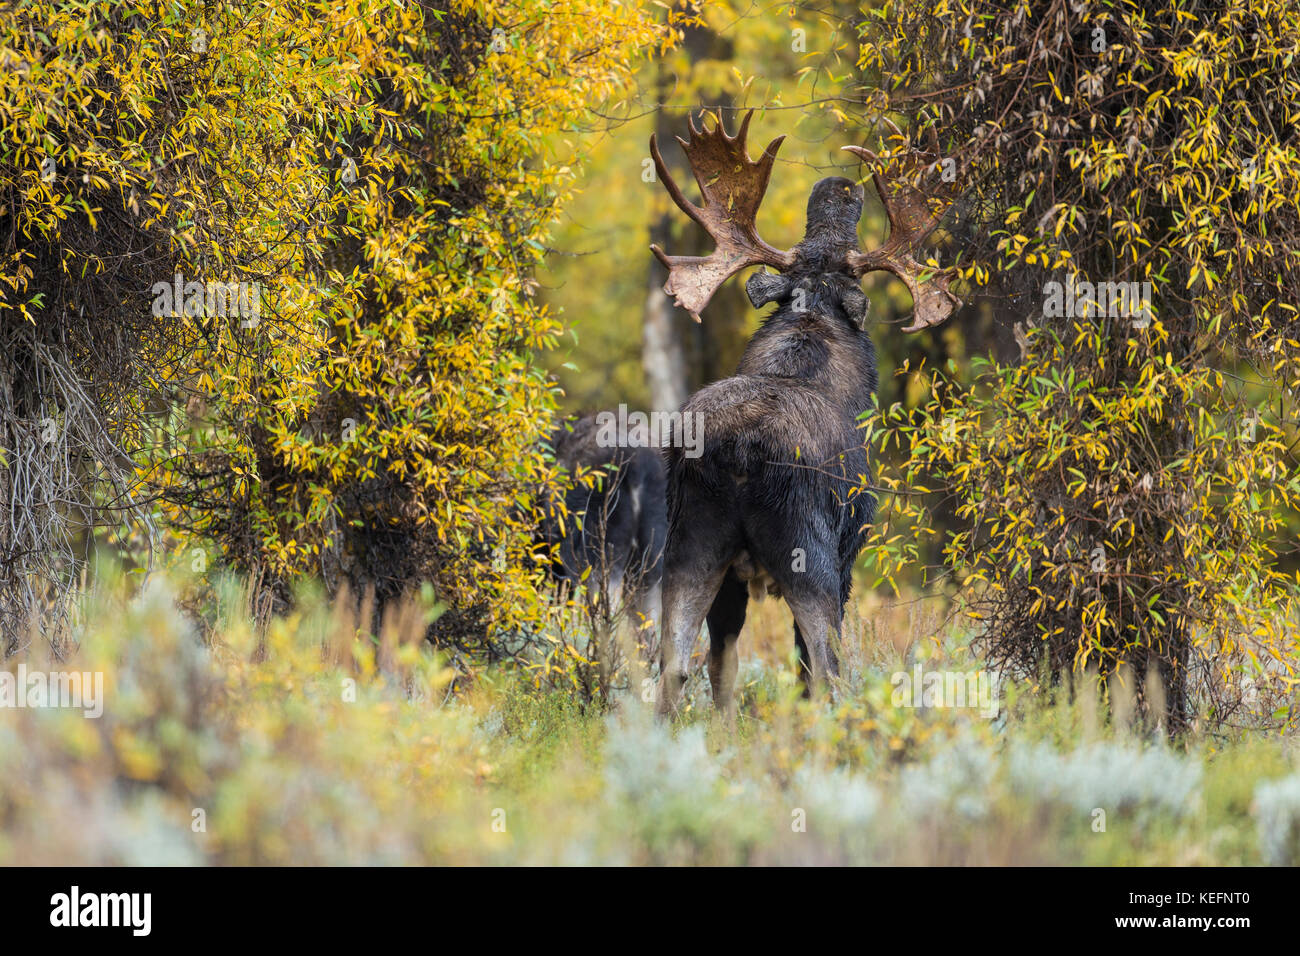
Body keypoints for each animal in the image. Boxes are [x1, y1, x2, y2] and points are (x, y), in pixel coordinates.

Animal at [648, 110, 960, 719]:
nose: (839, 188)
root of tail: (740, 450)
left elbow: (723, 662)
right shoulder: (849, 550)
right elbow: (805, 666)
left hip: (688, 544)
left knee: (674, 668)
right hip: (809, 553)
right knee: (830, 669)